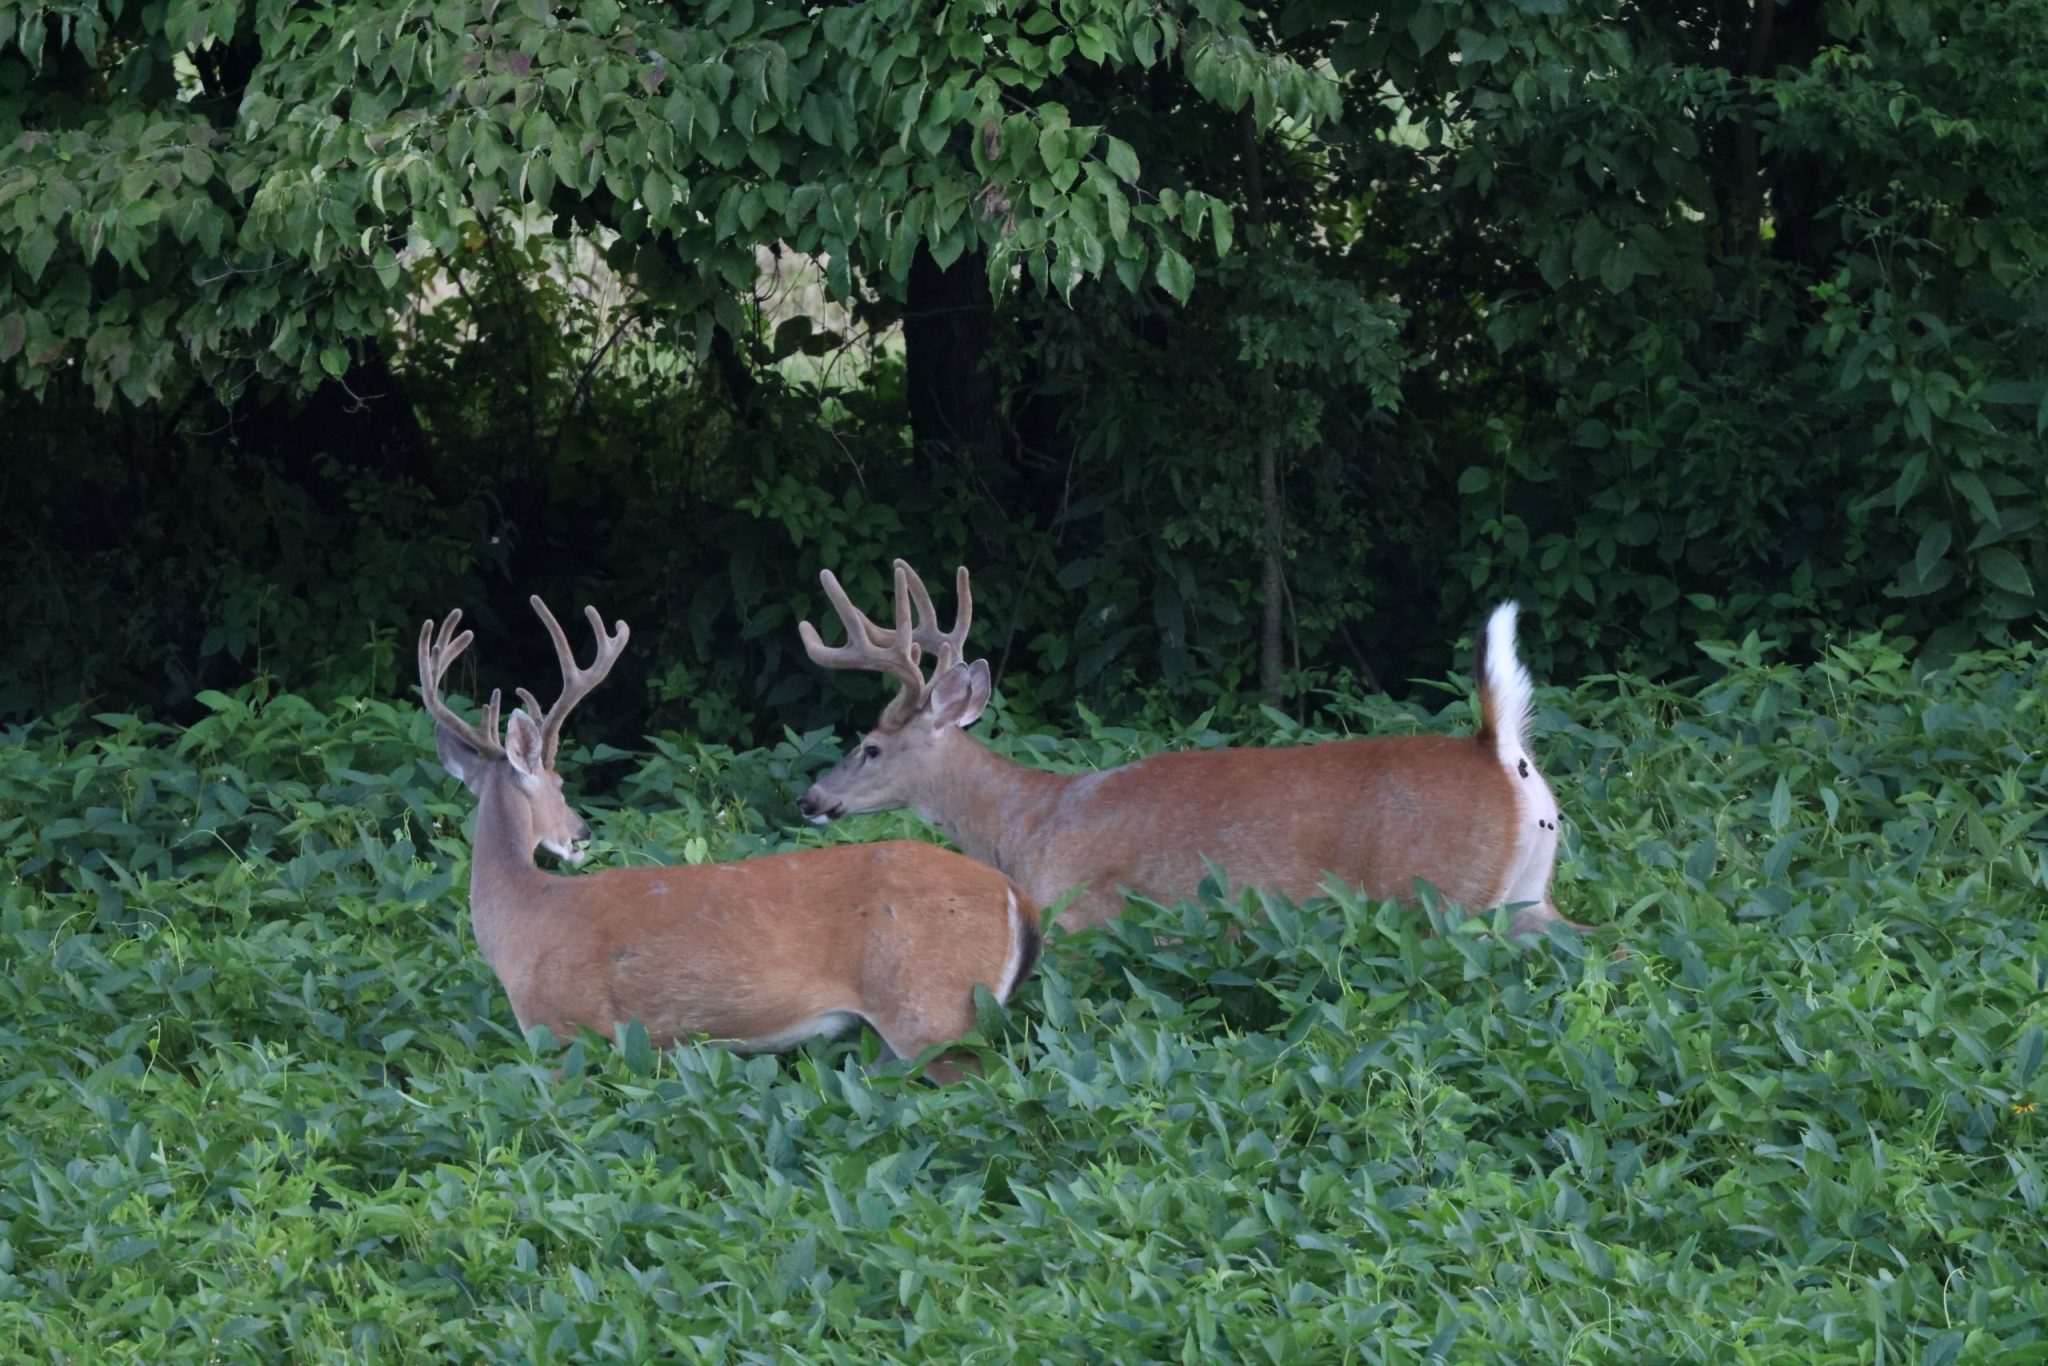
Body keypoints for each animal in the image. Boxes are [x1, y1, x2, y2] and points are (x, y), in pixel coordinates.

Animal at [418, 595, 1041, 1083]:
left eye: (562, 781)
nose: (581, 834)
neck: (527, 915)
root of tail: (1018, 899)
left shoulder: (568, 1033)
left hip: (933, 1011)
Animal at [797, 561, 1585, 939]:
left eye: (870, 745)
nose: (810, 799)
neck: (1025, 825)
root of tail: (1498, 749)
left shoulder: (1088, 913)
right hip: (1527, 894)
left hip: (1446, 899)